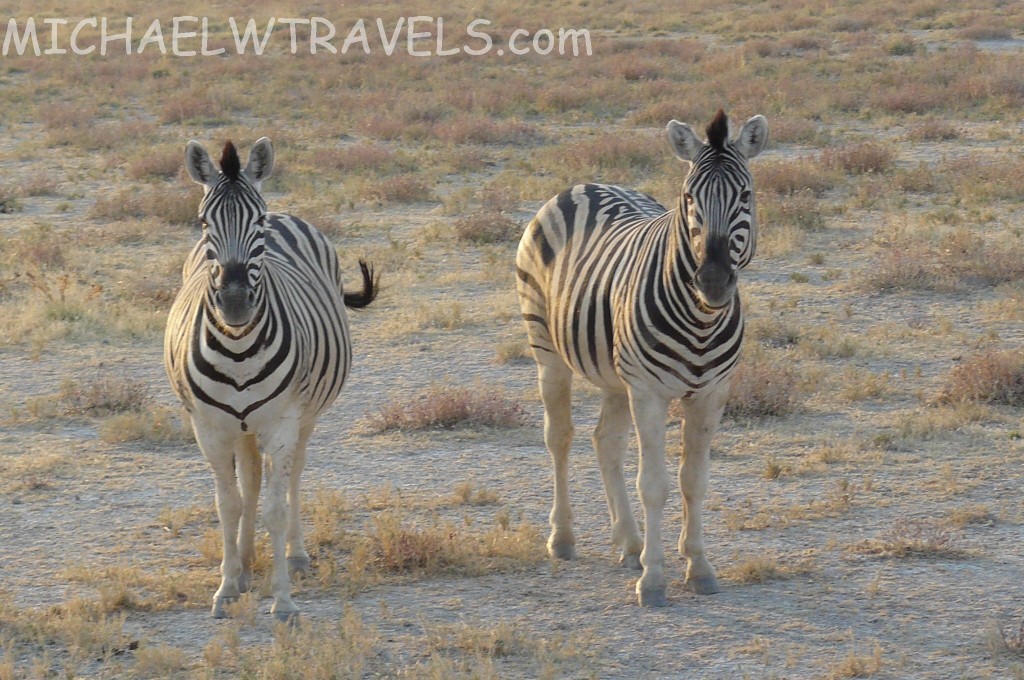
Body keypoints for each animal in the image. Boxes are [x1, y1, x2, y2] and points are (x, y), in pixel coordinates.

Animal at [164, 138, 377, 620]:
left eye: (256, 221)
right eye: (203, 222)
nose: (235, 303)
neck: (239, 348)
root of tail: (286, 214)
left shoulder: (283, 423)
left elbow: (275, 509)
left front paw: (283, 601)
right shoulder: (209, 428)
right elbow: (229, 504)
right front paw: (226, 588)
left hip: (306, 415)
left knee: (293, 473)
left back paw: (295, 555)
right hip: (242, 424)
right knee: (251, 481)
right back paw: (243, 566)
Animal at [515, 110, 767, 607]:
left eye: (745, 195)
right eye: (689, 198)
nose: (712, 281)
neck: (701, 319)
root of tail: (585, 184)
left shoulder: (712, 394)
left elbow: (694, 480)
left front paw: (698, 566)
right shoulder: (649, 393)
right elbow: (654, 484)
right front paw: (653, 579)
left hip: (616, 375)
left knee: (604, 441)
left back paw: (629, 542)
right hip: (547, 349)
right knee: (560, 437)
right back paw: (564, 538)